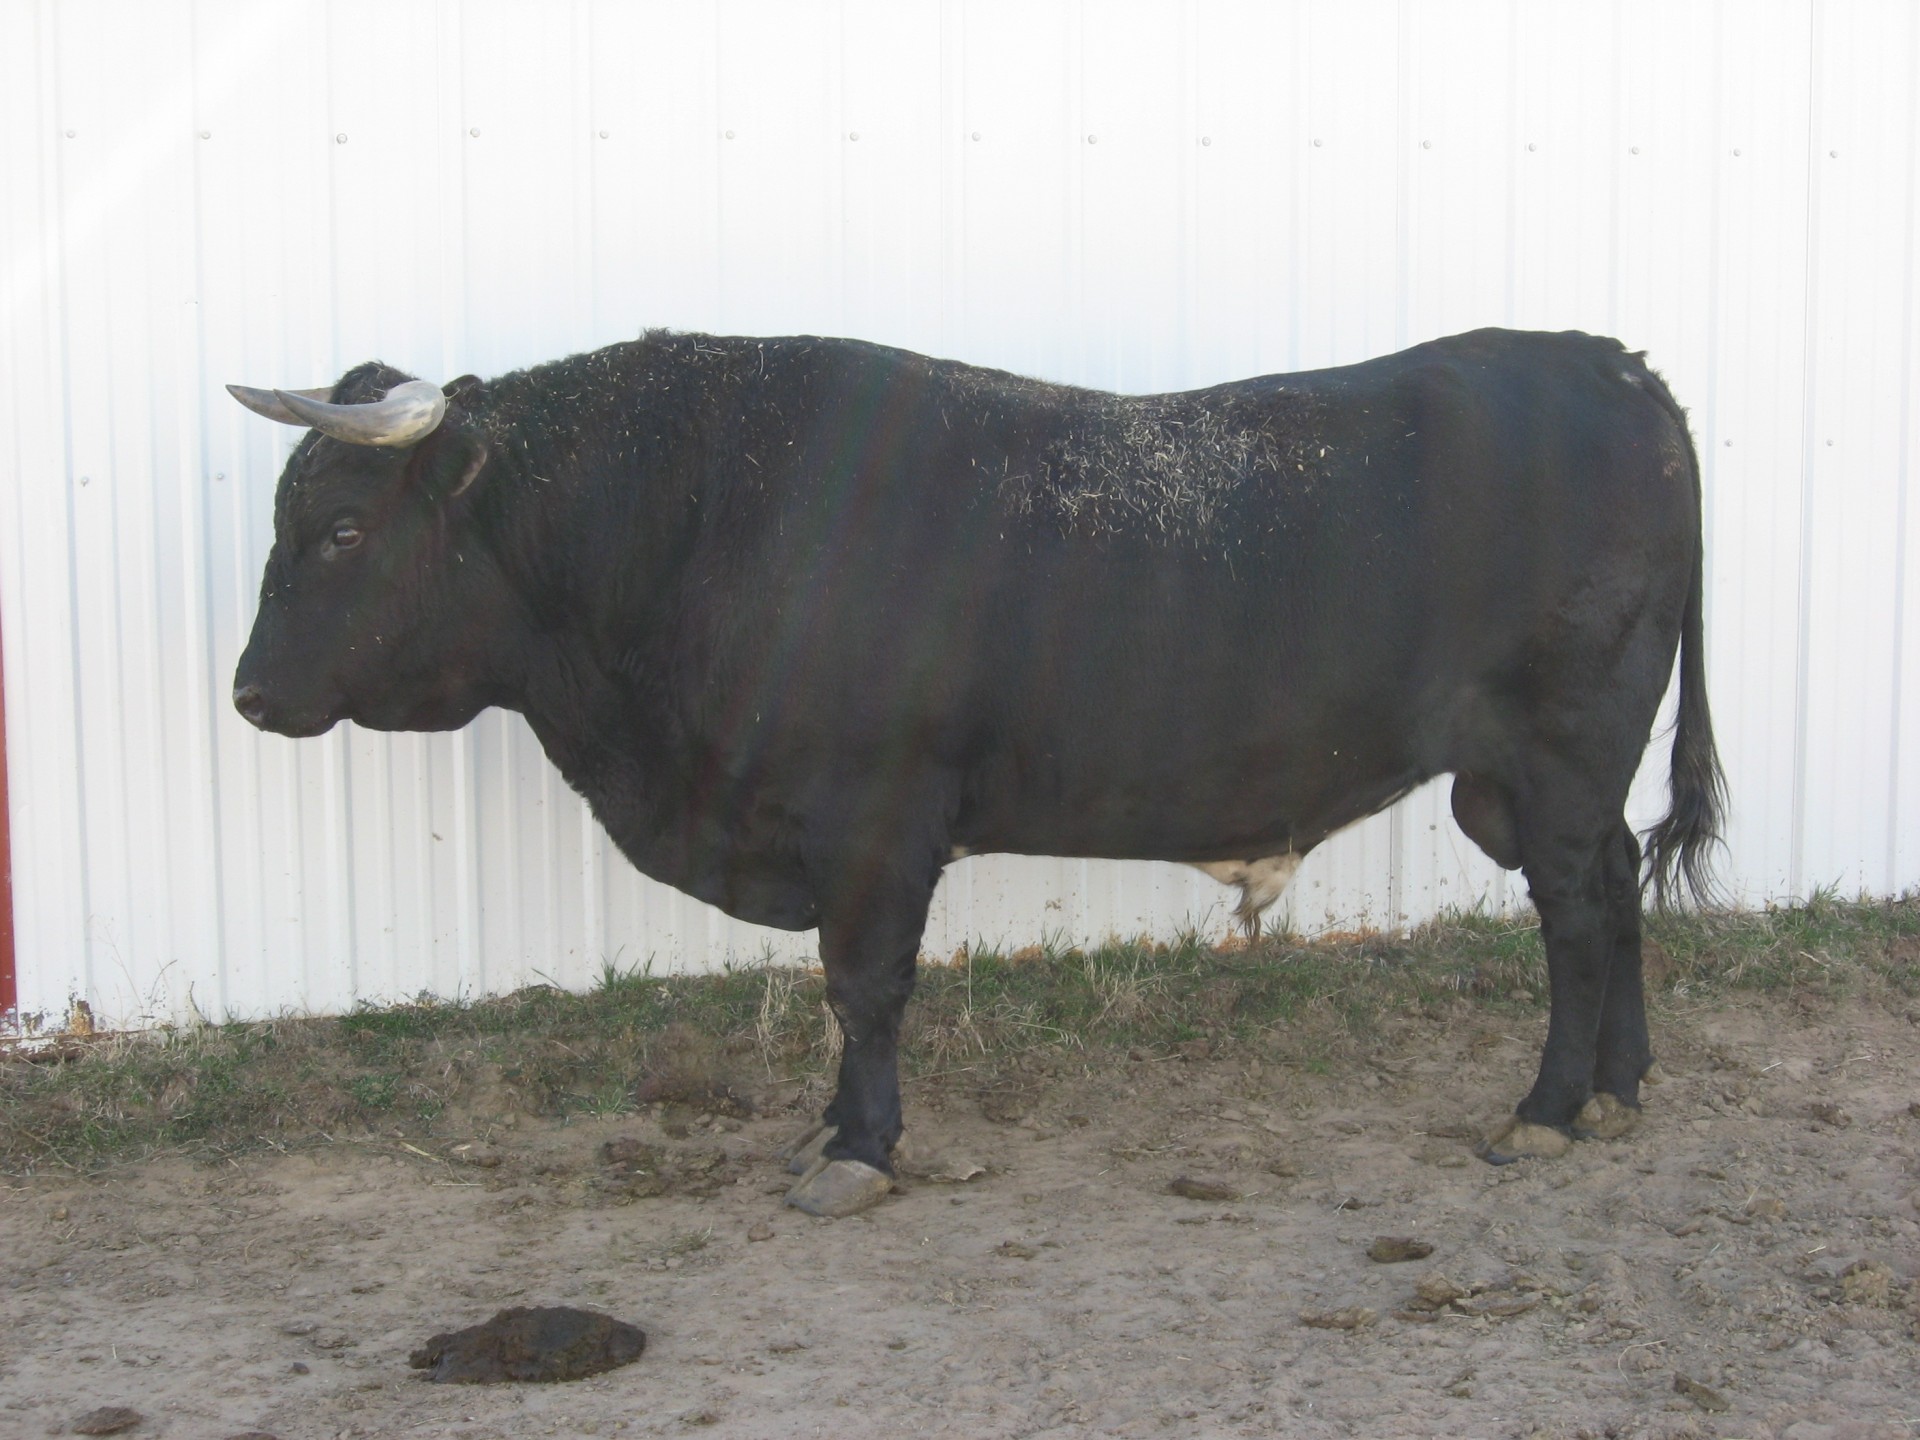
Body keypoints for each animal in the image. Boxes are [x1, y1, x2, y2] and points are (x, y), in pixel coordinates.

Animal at [228, 327, 1724, 1217]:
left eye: (342, 526)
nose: (247, 692)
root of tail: (1608, 363)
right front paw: (826, 1133)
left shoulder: (877, 818)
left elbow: (863, 987)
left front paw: (857, 1151)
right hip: (1537, 780)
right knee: (1613, 889)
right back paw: (1622, 1089)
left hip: (1561, 747)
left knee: (1577, 910)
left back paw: (1548, 1108)